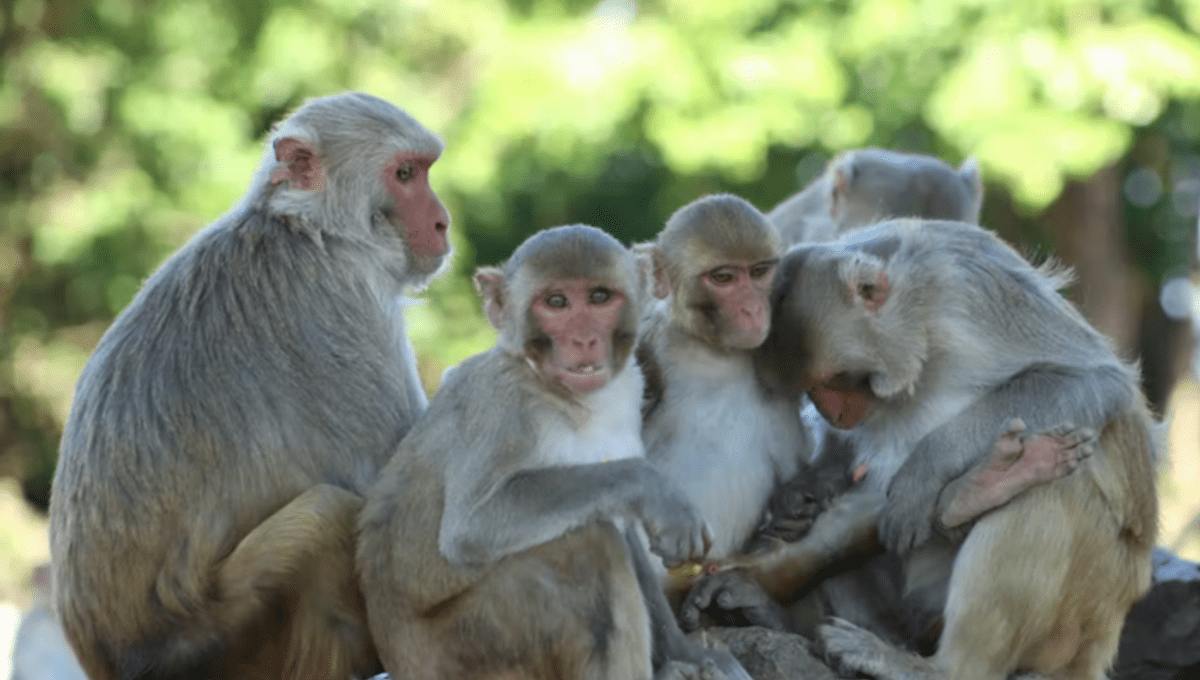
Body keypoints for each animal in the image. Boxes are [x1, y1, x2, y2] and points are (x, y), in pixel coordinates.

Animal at [48, 92, 452, 680]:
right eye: (404, 174)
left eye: (424, 169)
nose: (443, 222)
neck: (310, 229)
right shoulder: (344, 299)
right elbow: (394, 498)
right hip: (226, 638)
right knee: (325, 516)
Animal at [356, 224, 751, 680]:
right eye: (556, 302)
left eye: (599, 297)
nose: (583, 339)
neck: (572, 401)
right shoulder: (502, 405)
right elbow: (471, 526)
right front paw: (657, 491)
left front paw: (685, 652)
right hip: (473, 650)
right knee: (589, 546)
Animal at [743, 218, 1158, 680]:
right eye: (810, 389)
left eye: (835, 379)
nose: (831, 412)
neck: (919, 325)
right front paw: (803, 490)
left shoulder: (968, 287)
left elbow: (1097, 379)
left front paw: (923, 471)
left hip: (1082, 612)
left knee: (1051, 490)